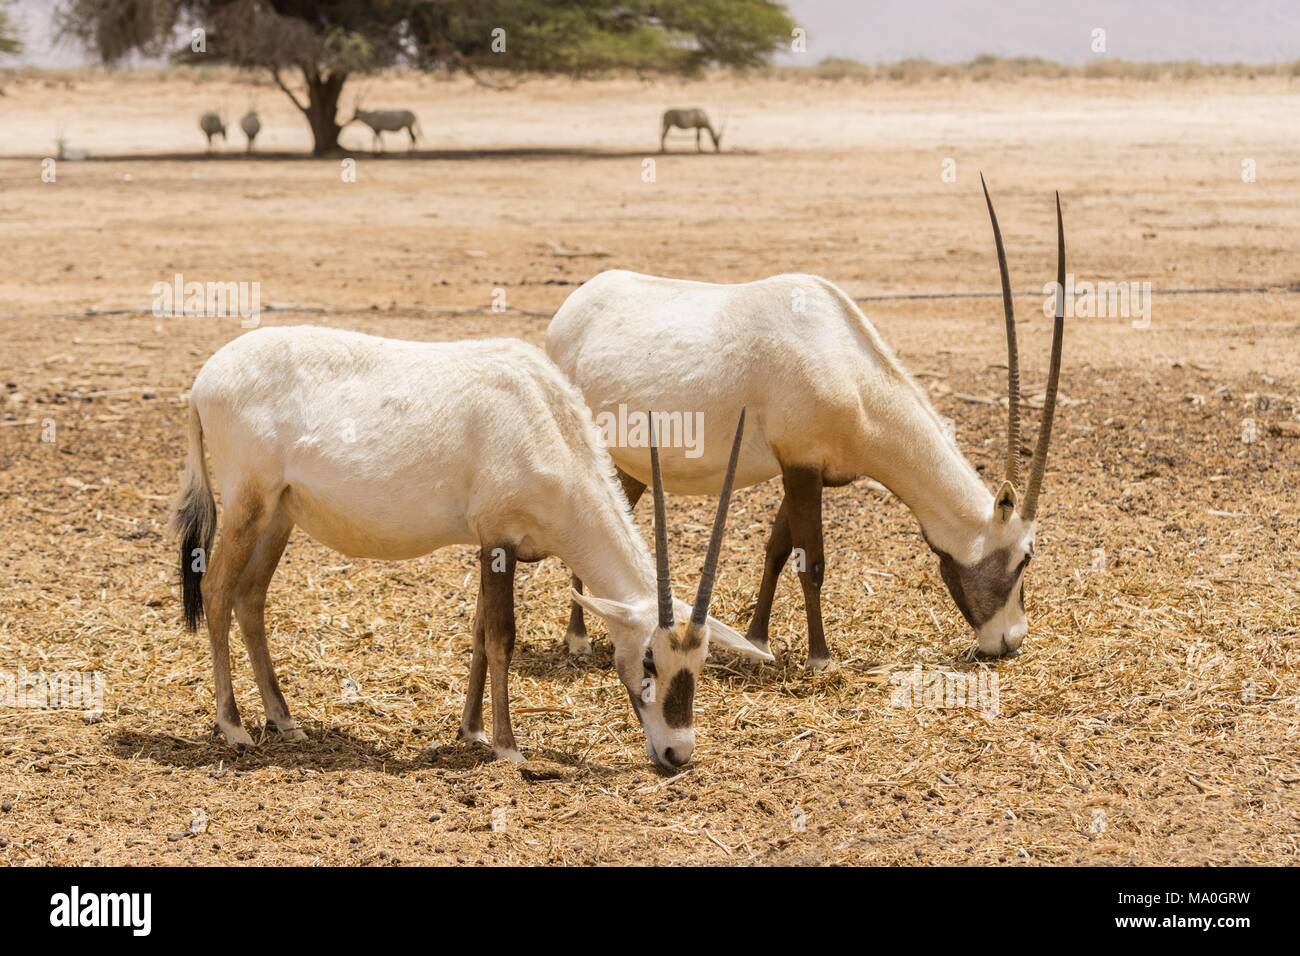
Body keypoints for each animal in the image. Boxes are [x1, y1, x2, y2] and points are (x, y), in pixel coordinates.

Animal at [171, 326, 769, 768]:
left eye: (701, 662)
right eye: (648, 659)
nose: (677, 754)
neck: (544, 419)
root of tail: (205, 381)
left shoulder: (490, 545)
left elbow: (480, 635)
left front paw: (472, 730)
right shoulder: (498, 540)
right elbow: (502, 637)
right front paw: (507, 747)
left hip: (279, 514)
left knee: (250, 598)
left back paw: (283, 719)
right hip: (248, 504)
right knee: (217, 591)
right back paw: (233, 727)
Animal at [547, 178, 1067, 668]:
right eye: (1026, 556)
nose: (1010, 641)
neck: (849, 365)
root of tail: (569, 311)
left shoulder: (806, 468)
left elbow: (778, 551)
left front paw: (757, 641)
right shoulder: (800, 466)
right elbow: (810, 561)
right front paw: (820, 657)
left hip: (628, 465)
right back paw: (577, 641)